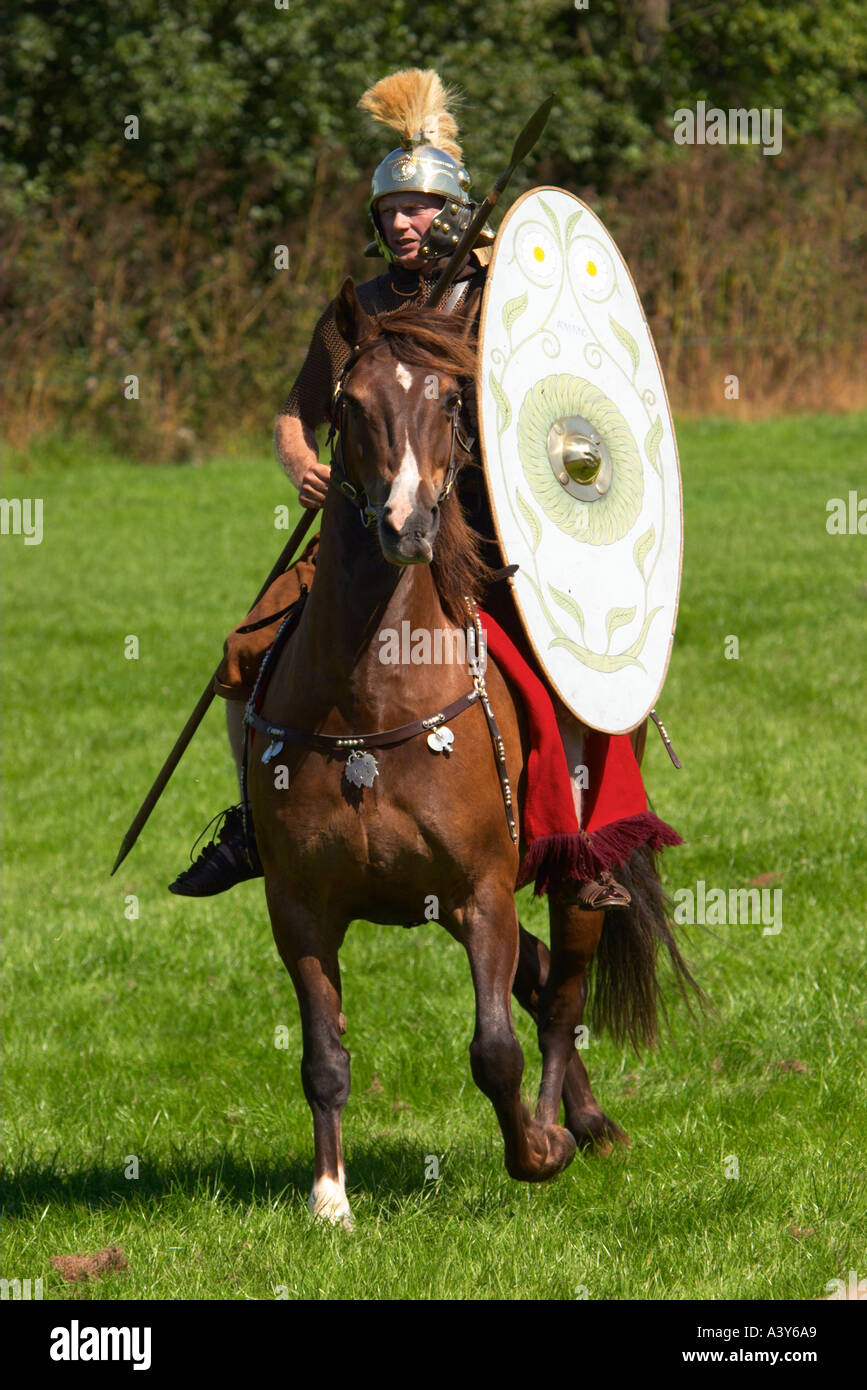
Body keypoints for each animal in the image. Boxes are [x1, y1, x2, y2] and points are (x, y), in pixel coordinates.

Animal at [248, 277, 699, 1227]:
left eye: (453, 402)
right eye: (350, 403)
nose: (408, 524)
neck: (370, 697)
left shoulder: (479, 892)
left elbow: (495, 1049)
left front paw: (537, 1150)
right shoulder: (299, 910)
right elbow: (323, 1058)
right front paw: (329, 1199)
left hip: (576, 863)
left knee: (561, 993)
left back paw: (575, 1124)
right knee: (541, 977)